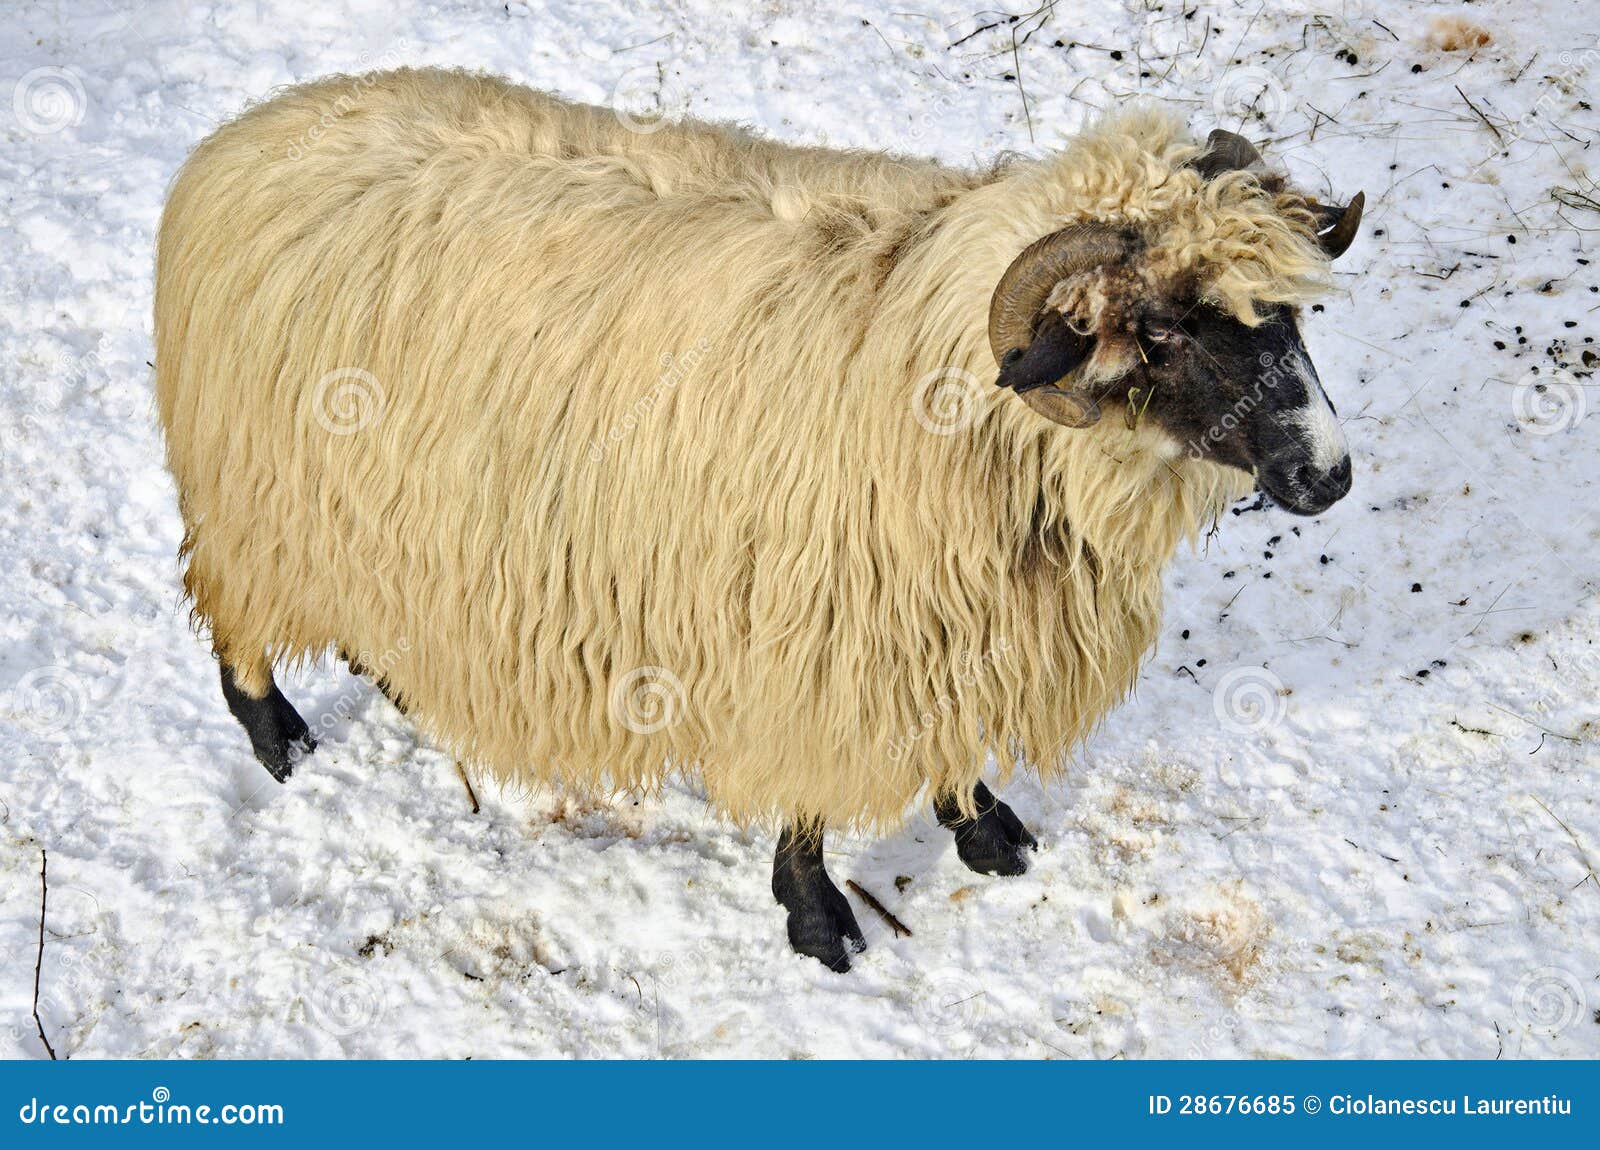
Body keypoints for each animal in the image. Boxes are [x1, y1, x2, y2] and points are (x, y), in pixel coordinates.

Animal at [154, 67, 1361, 971]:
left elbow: (952, 735)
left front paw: (985, 829)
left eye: (1289, 313)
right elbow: (807, 802)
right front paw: (817, 917)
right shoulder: (807, 630)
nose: (1329, 476)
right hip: (253, 488)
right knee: (237, 625)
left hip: (360, 507)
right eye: (1162, 331)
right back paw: (282, 742)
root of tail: (241, 137)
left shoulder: (946, 611)